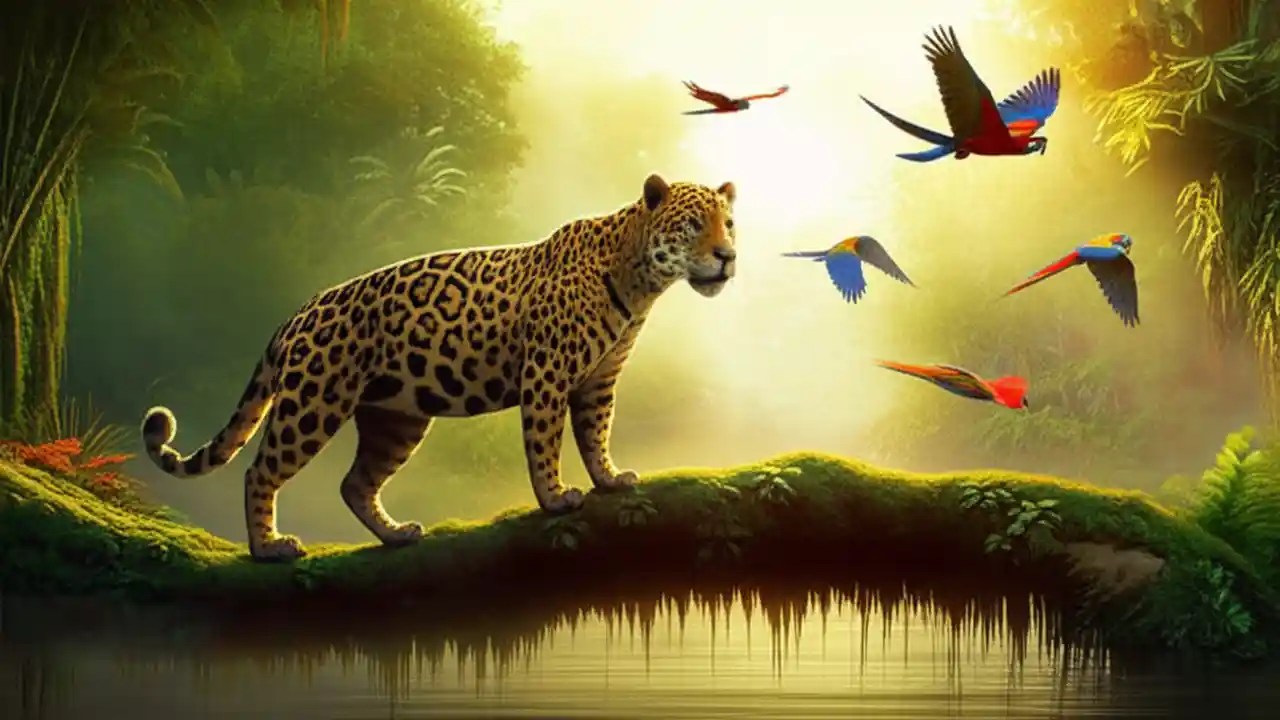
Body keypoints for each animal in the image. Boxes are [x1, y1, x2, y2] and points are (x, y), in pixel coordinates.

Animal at [140, 173, 738, 562]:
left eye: (729, 223)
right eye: (691, 225)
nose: (727, 256)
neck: (640, 283)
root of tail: (298, 312)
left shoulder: (598, 380)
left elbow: (595, 435)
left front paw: (609, 480)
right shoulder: (546, 373)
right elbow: (545, 442)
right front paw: (554, 498)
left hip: (397, 418)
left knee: (354, 483)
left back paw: (395, 535)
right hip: (313, 403)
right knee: (260, 470)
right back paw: (268, 547)